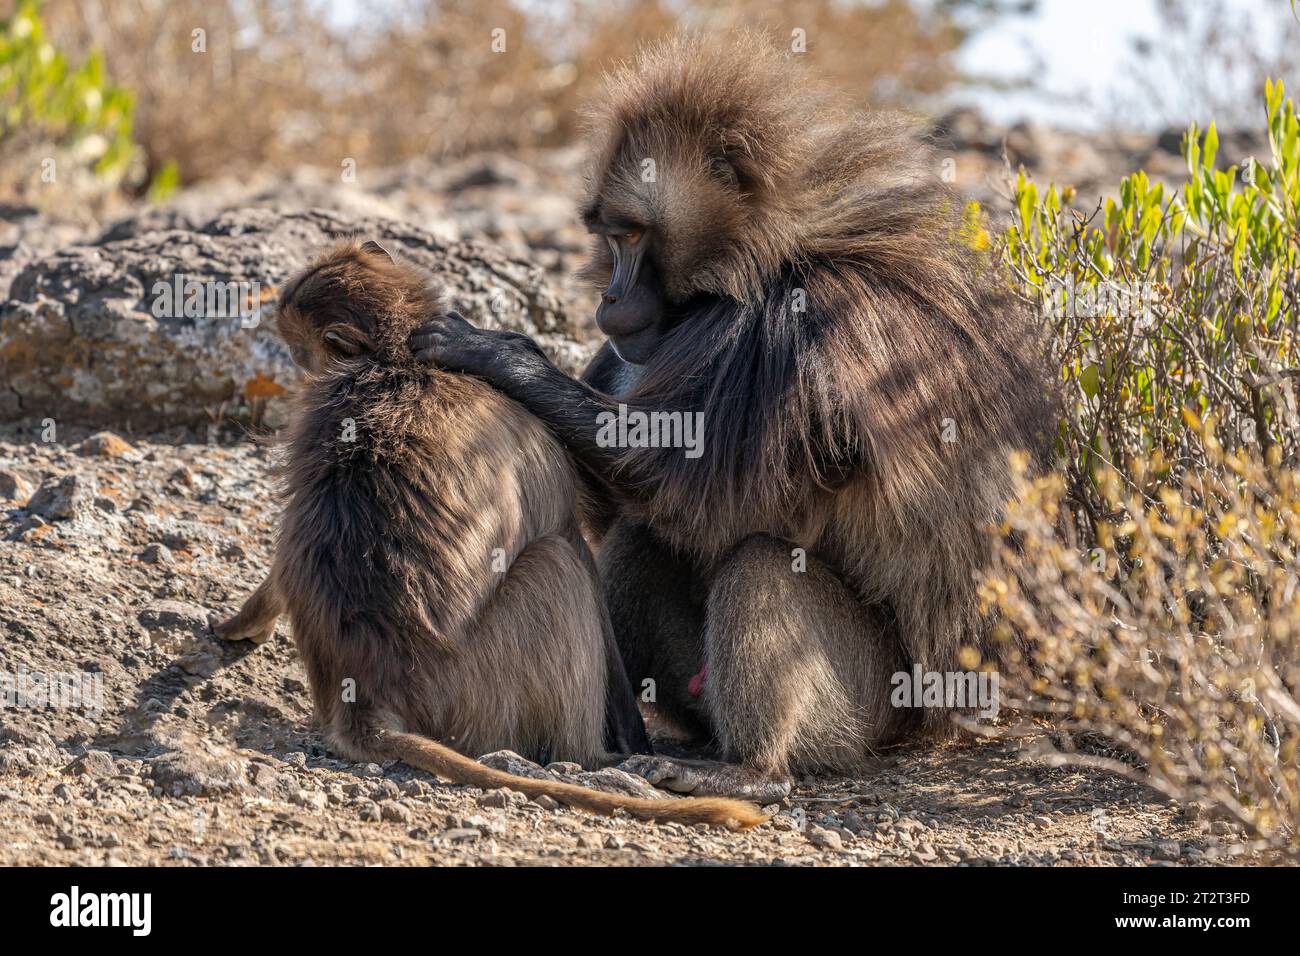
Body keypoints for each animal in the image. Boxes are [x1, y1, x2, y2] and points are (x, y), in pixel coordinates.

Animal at [213, 238, 768, 828]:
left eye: (299, 353)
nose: (301, 376)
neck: (396, 358)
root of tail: (363, 698)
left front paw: (239, 623)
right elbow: (568, 538)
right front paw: (629, 731)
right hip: (474, 695)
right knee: (555, 562)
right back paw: (591, 758)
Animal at [408, 33, 1055, 801]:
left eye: (633, 235)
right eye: (609, 238)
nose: (609, 300)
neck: (754, 267)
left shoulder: (789, 333)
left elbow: (675, 481)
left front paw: (496, 351)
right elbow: (632, 501)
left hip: (874, 692)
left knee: (758, 564)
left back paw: (748, 772)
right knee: (642, 542)